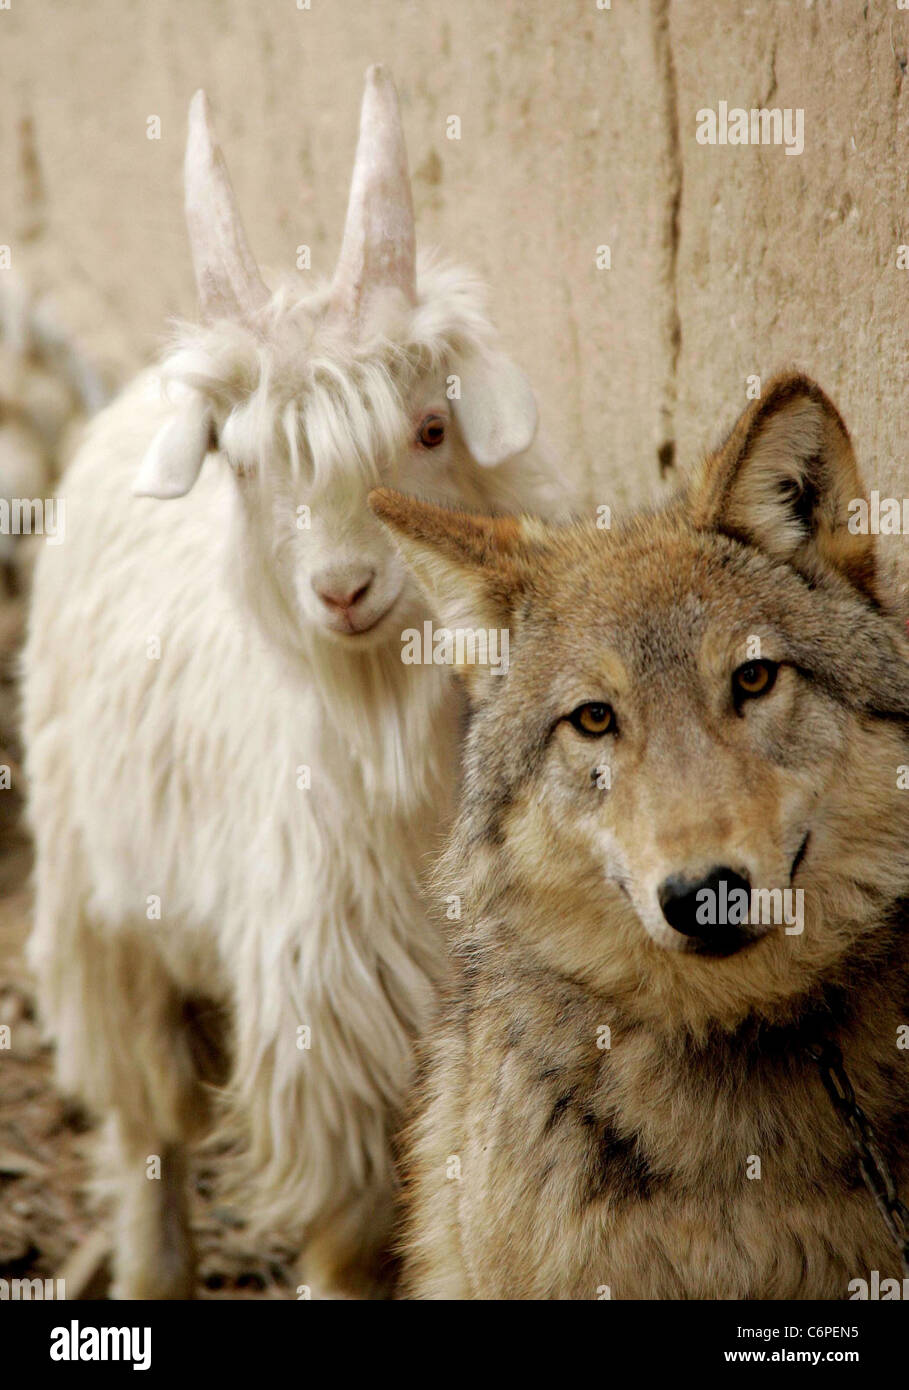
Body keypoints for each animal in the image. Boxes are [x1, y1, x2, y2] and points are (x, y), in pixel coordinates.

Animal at [22, 66, 555, 1299]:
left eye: (430, 426)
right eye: (244, 458)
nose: (346, 589)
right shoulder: (331, 1032)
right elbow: (351, 1241)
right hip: (101, 917)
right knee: (148, 1124)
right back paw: (150, 1269)